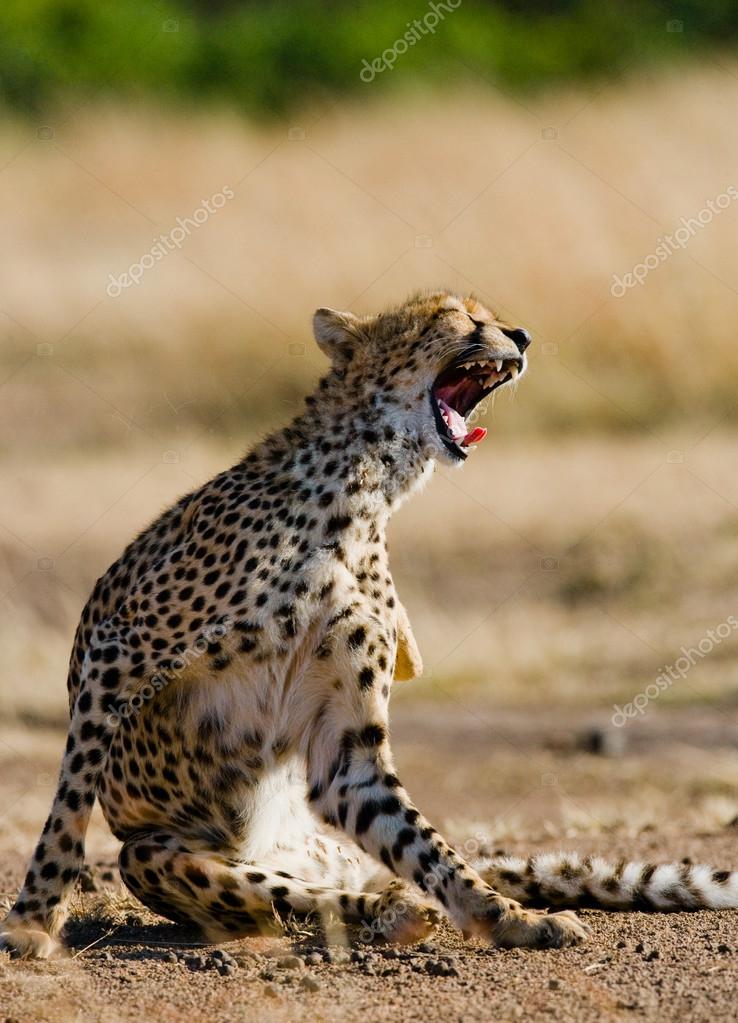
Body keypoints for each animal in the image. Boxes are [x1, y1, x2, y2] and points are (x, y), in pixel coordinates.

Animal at [3, 290, 737, 960]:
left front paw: (509, 918)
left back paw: (405, 908)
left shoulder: (346, 752)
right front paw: (33, 920)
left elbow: (423, 842)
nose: (524, 335)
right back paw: (393, 911)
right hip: (151, 852)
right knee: (276, 896)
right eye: (458, 315)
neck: (364, 492)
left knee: (349, 885)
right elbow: (67, 805)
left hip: (318, 851)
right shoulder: (114, 652)